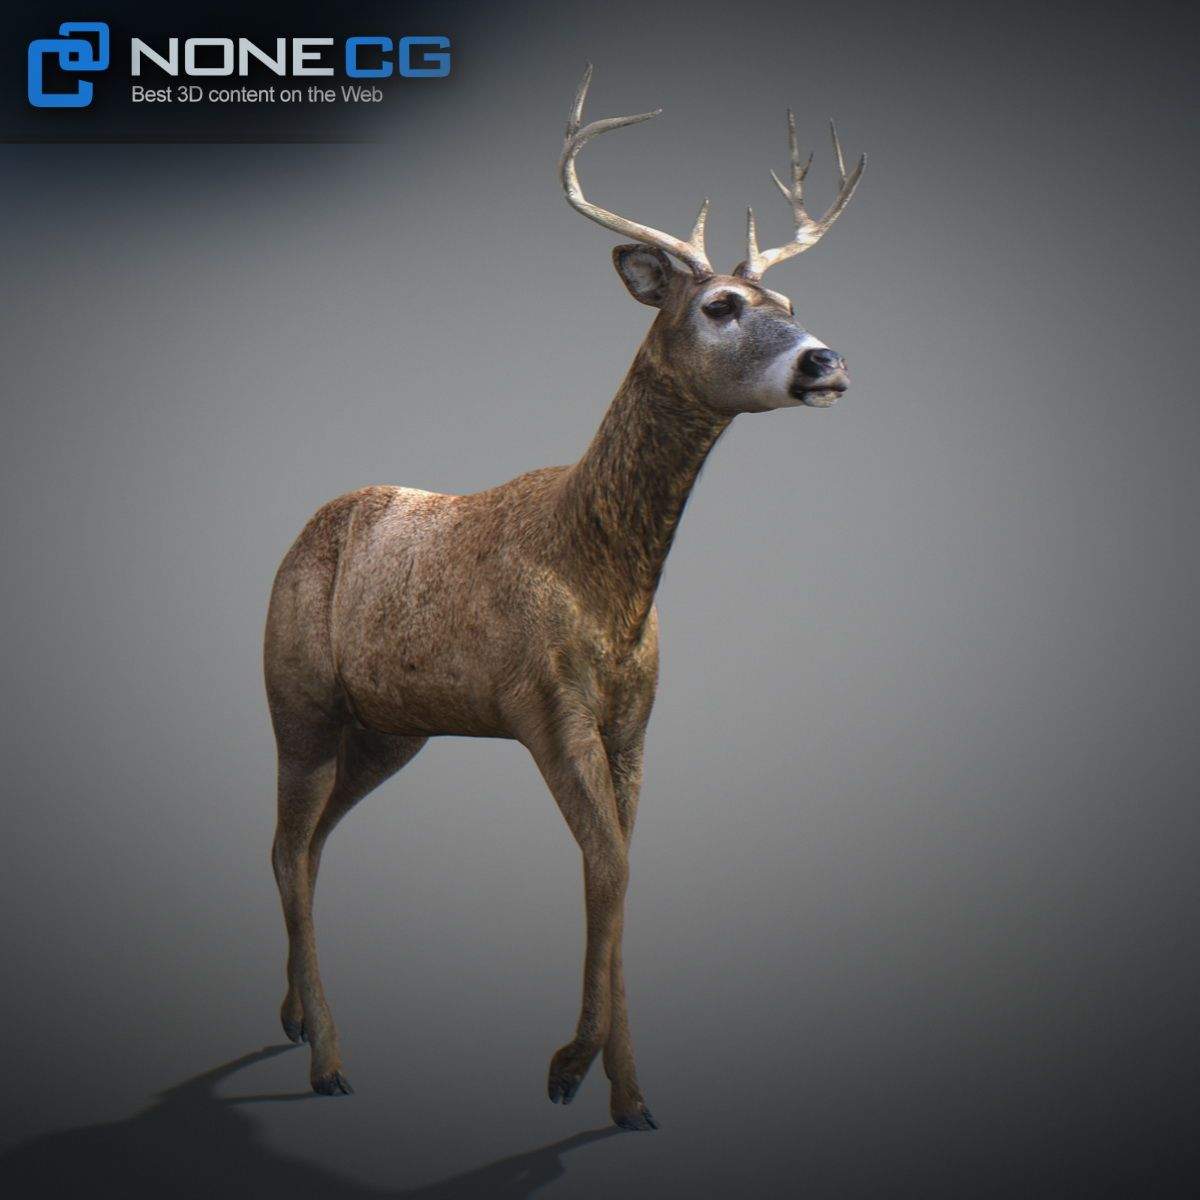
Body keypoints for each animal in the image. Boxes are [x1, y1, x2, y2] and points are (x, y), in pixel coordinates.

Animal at [264, 65, 864, 1131]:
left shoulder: (632, 723)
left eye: (788, 294)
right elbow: (608, 868)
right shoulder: (544, 705)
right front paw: (567, 1068)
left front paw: (631, 1098)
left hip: (388, 727)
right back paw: (329, 1058)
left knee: (312, 841)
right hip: (295, 696)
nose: (825, 361)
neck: (603, 576)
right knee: (288, 847)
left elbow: (621, 874)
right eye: (719, 304)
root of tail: (300, 533)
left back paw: (296, 1023)